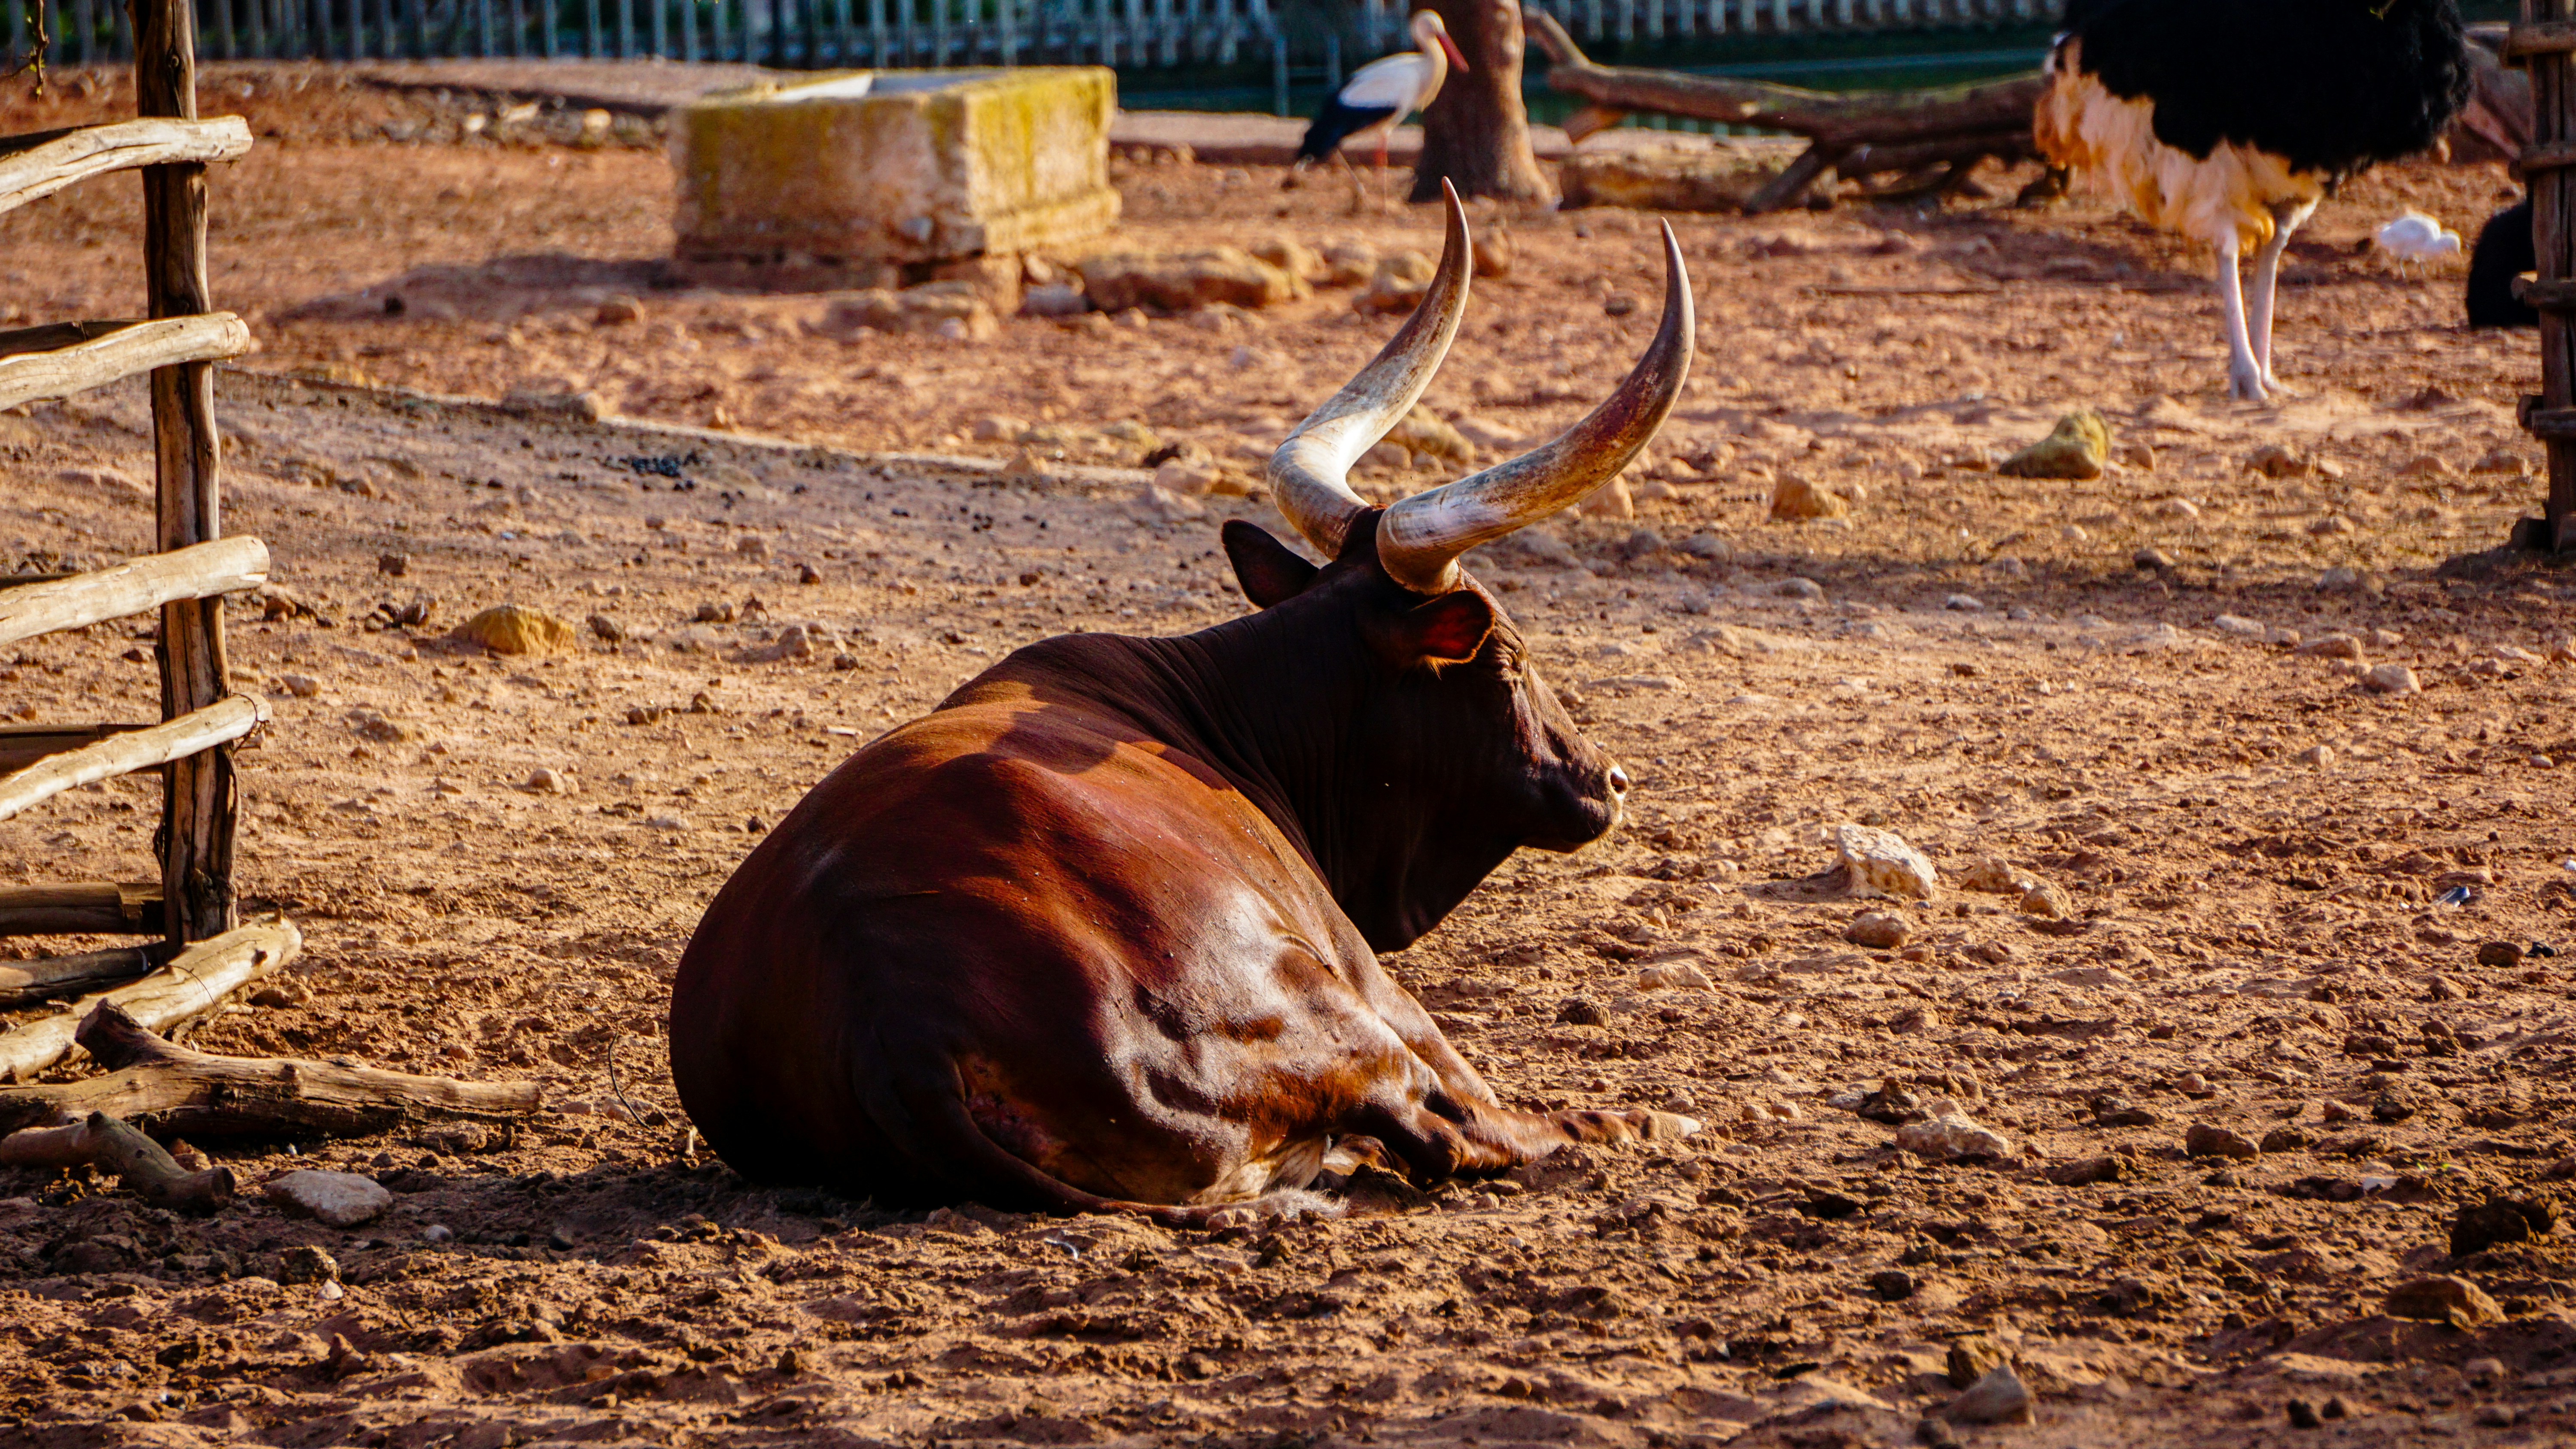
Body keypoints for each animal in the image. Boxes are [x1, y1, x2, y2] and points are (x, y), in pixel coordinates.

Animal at [669, 186, 1699, 1223]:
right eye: (1508, 657)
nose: (1608, 779)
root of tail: (899, 1037)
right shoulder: (1368, 976)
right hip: (1338, 1009)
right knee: (1457, 1130)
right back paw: (1645, 1123)